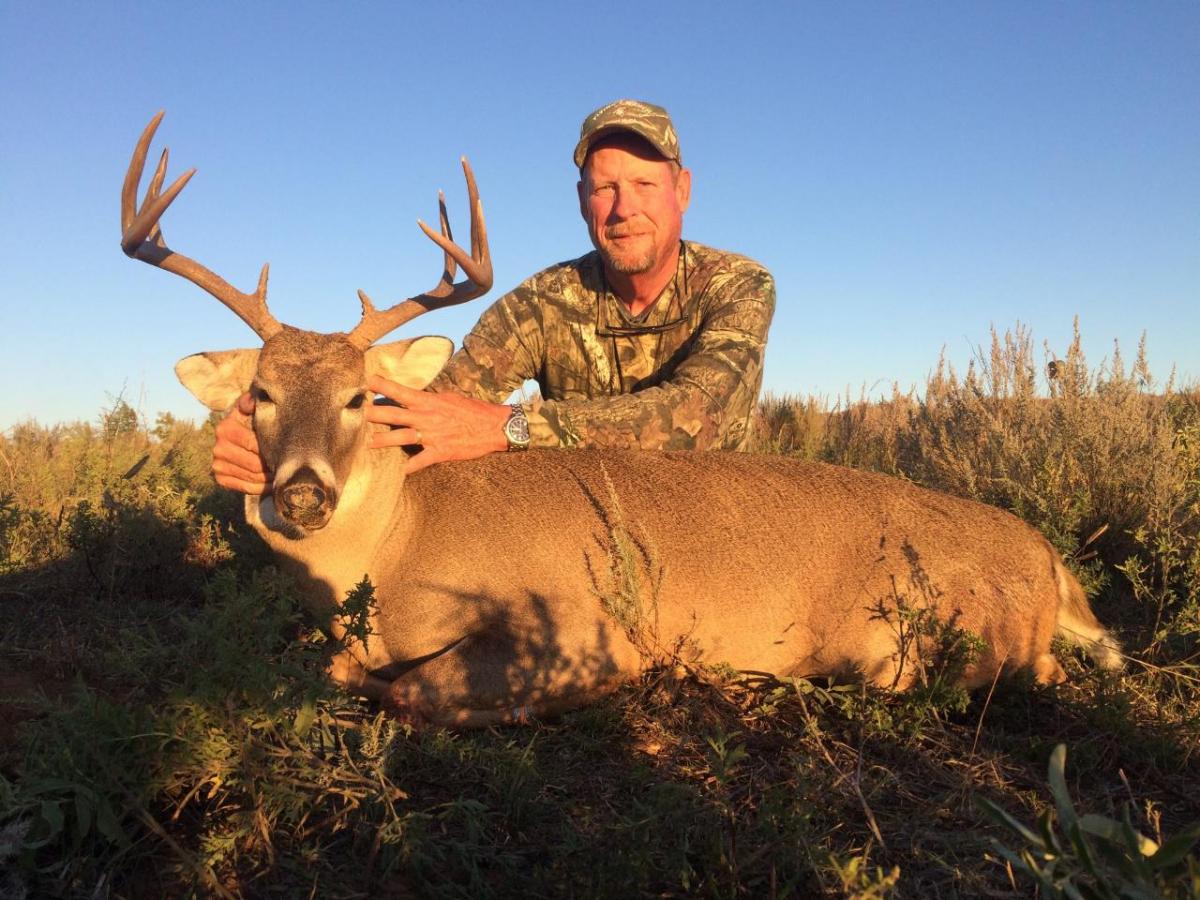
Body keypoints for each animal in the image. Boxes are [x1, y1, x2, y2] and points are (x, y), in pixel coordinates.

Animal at [121, 112, 1123, 728]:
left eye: (361, 397)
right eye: (257, 396)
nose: (300, 495)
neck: (395, 554)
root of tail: (1047, 557)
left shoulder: (581, 633)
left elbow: (413, 690)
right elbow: (341, 670)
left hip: (924, 647)